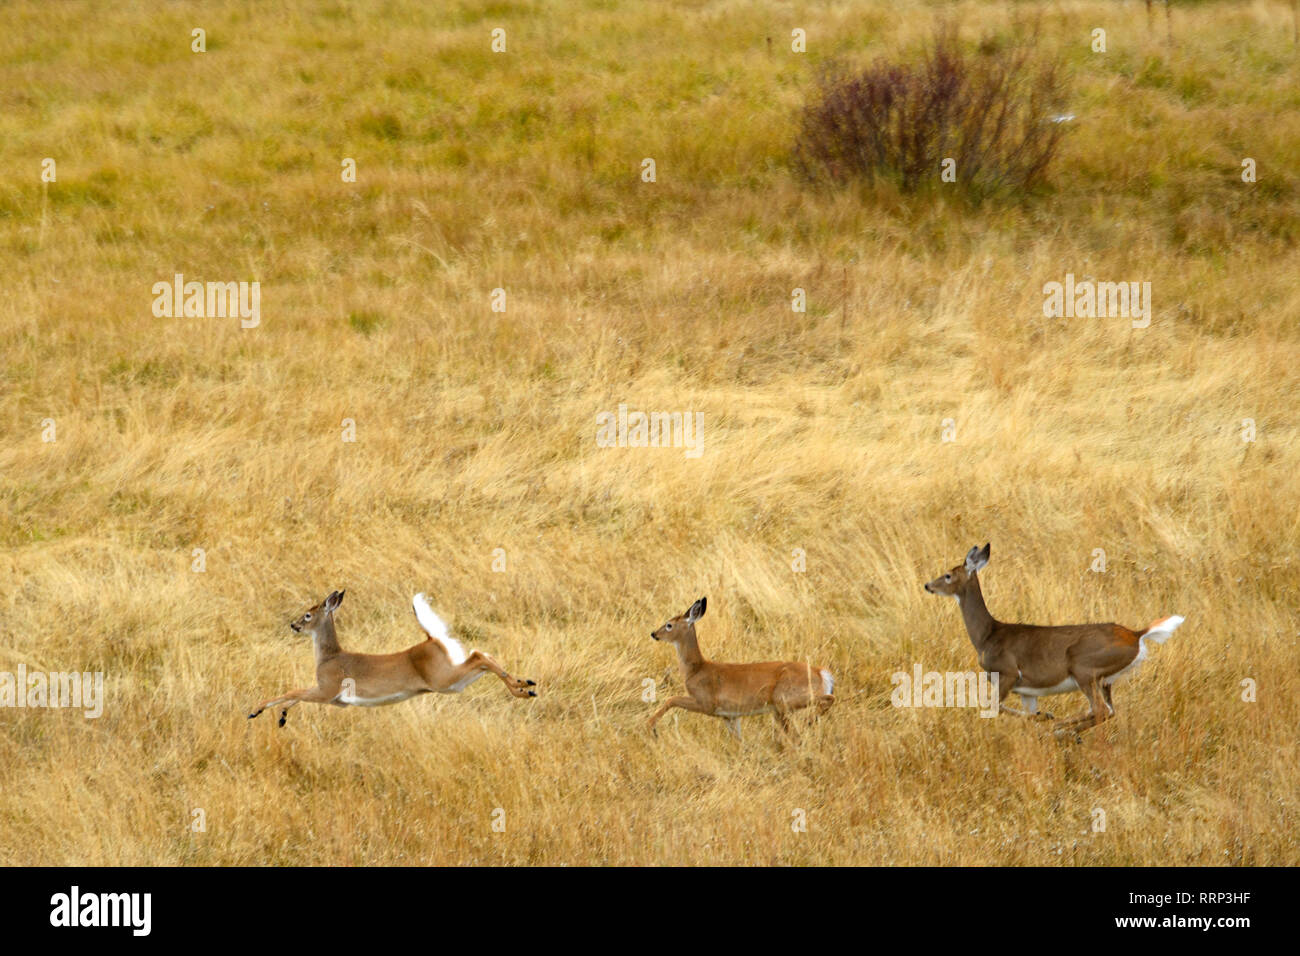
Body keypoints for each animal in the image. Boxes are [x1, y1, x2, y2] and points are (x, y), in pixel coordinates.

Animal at [247, 590, 536, 727]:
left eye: (308, 615)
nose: (293, 625)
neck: (329, 657)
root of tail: (432, 639)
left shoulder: (328, 688)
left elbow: (292, 691)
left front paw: (255, 710)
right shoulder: (334, 699)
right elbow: (295, 696)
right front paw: (281, 716)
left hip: (444, 679)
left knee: (480, 655)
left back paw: (525, 688)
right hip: (452, 683)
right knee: (484, 655)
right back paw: (526, 686)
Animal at [646, 596, 834, 740]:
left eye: (669, 624)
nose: (654, 634)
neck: (696, 669)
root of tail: (820, 673)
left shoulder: (706, 703)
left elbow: (671, 699)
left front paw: (651, 725)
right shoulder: (729, 715)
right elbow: (739, 741)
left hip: (785, 699)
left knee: (828, 699)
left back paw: (809, 721)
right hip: (782, 708)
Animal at [923, 543, 1184, 737]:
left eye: (948, 575)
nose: (928, 585)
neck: (988, 635)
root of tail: (1136, 635)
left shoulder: (1007, 673)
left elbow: (992, 707)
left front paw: (1046, 716)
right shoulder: (1027, 691)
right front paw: (1040, 717)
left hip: (1084, 668)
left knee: (1099, 709)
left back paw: (1061, 729)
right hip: (1105, 680)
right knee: (1109, 710)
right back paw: (1065, 731)